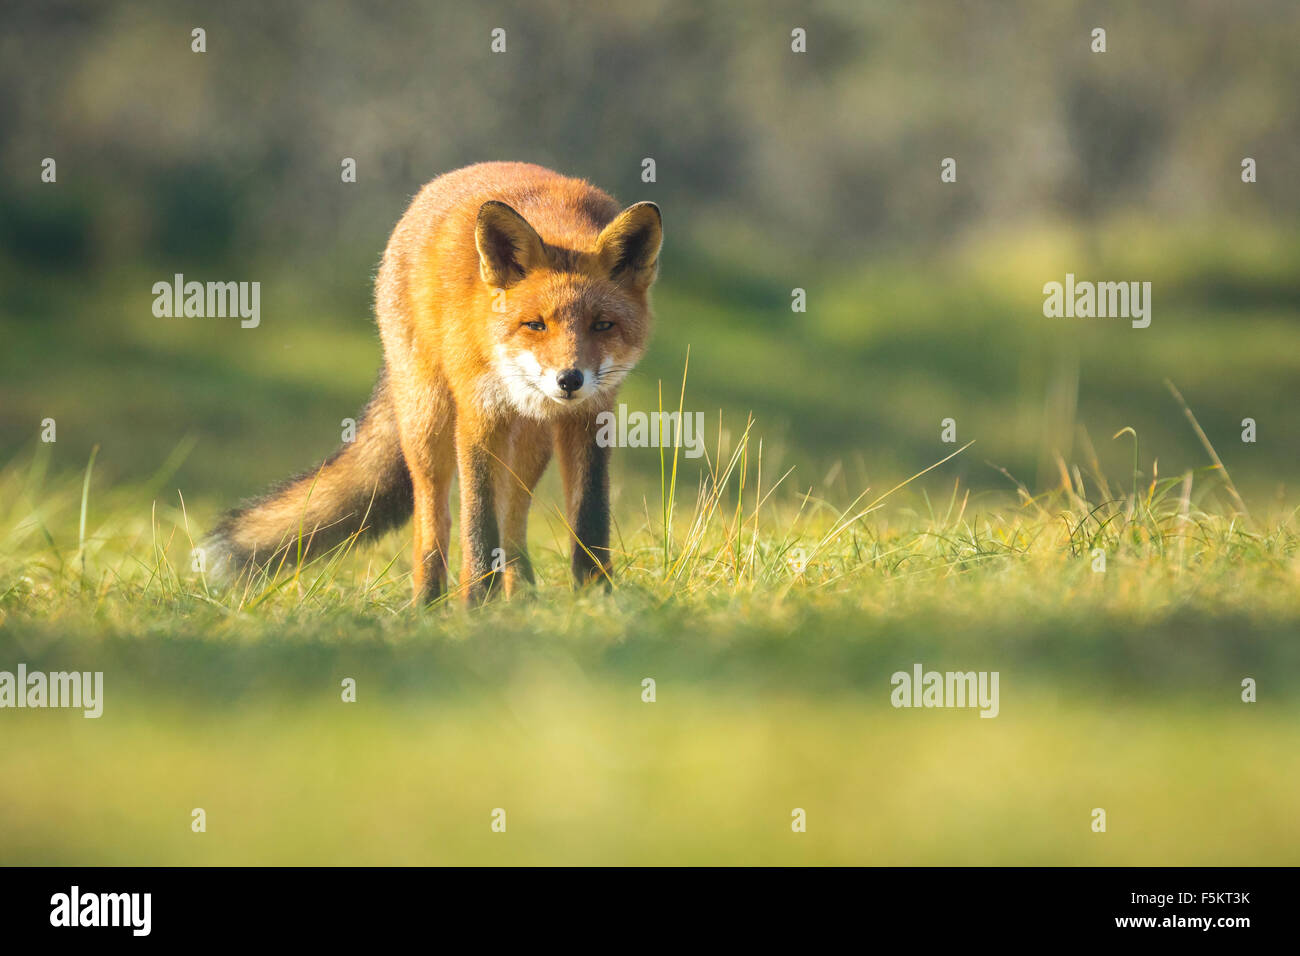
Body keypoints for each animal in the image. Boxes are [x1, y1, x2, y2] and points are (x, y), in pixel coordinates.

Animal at [205, 162, 662, 605]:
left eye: (602, 325)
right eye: (535, 325)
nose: (569, 380)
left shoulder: (590, 417)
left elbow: (589, 518)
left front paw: (597, 597)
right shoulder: (479, 416)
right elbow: (477, 521)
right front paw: (477, 604)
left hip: (530, 446)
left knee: (514, 519)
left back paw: (521, 598)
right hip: (429, 424)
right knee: (433, 520)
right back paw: (427, 605)